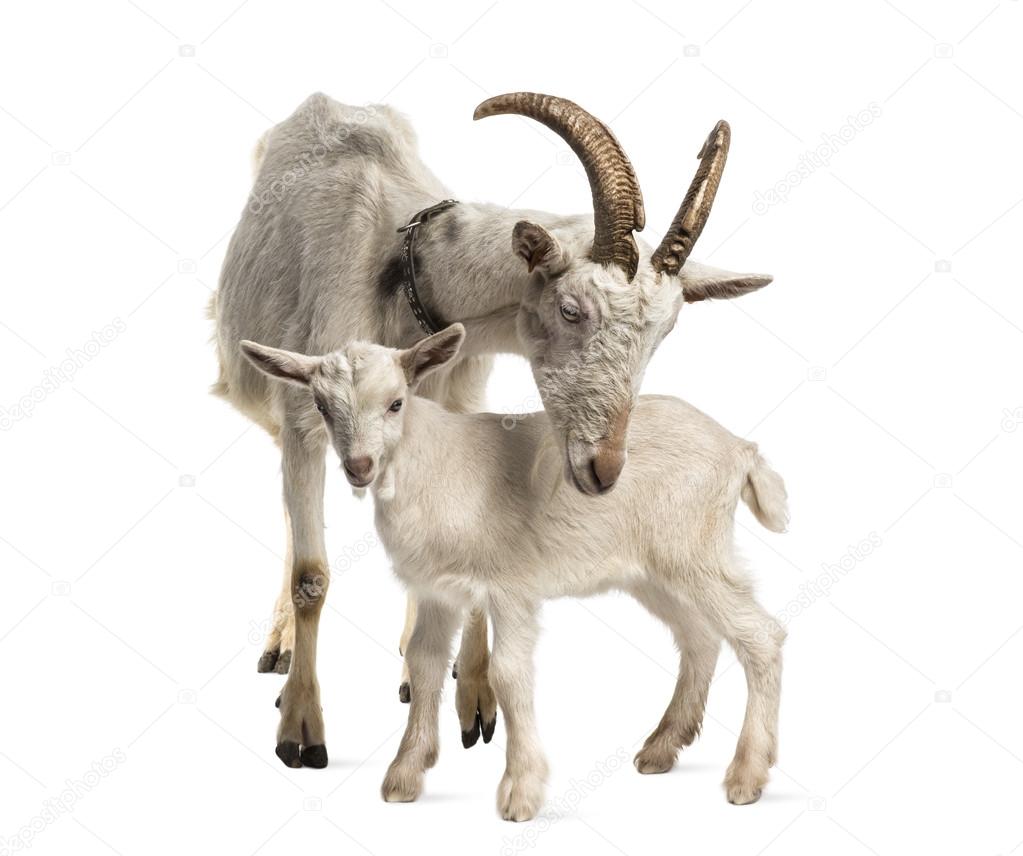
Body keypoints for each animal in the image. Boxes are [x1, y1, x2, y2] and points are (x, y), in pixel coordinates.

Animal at [211, 91, 774, 767]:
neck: (404, 280)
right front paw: (300, 728)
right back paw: (282, 647)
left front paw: (476, 699)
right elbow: (311, 575)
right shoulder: (303, 419)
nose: (605, 468)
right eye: (569, 308)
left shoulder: (459, 401)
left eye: (664, 332)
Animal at [240, 323, 788, 819]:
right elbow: (424, 664)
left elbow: (507, 673)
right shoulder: (436, 589)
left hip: (694, 551)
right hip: (654, 572)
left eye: (396, 403)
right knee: (700, 637)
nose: (359, 467)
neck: (428, 464)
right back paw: (661, 748)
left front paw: (520, 793)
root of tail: (740, 450)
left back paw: (746, 775)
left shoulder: (510, 587)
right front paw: (405, 775)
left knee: (760, 635)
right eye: (322, 407)